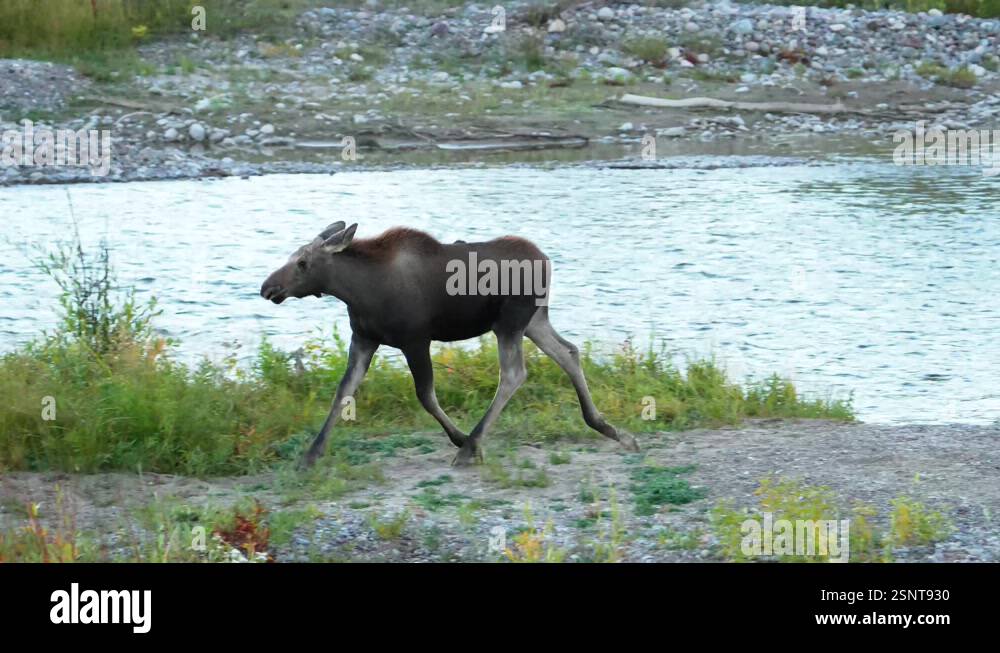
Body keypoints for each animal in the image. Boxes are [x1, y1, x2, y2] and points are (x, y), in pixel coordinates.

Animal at [260, 222, 640, 467]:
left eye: (303, 262)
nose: (267, 287)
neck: (357, 292)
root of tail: (546, 260)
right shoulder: (364, 339)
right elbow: (343, 392)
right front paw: (311, 454)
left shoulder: (415, 339)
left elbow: (426, 395)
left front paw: (459, 438)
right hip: (533, 321)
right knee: (569, 352)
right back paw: (610, 429)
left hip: (510, 322)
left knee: (514, 374)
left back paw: (471, 445)